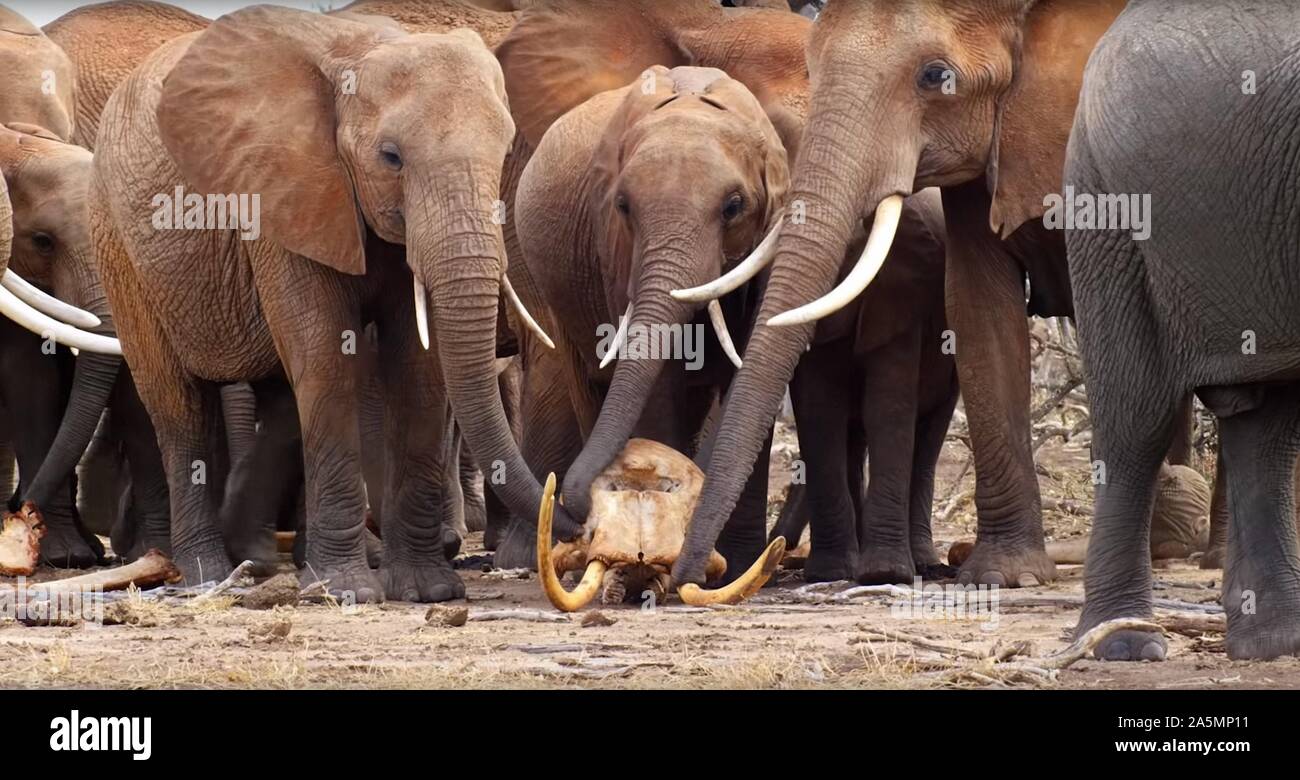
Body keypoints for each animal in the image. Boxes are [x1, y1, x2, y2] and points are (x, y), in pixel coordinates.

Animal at [91, 6, 569, 600]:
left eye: (505, 154)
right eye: (391, 157)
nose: (565, 502)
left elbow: (418, 366)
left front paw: (427, 591)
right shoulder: (281, 190)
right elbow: (325, 356)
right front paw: (345, 591)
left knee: (278, 403)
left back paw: (256, 557)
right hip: (118, 247)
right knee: (179, 409)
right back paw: (206, 575)